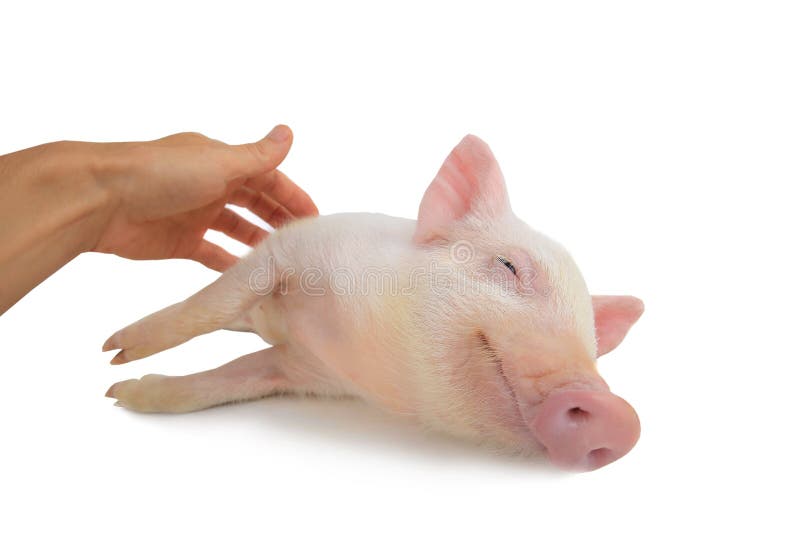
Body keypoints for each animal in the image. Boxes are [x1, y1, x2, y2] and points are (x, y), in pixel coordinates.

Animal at [104, 135, 644, 471]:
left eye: (593, 344)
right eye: (509, 266)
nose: (618, 413)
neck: (367, 351)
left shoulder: (296, 368)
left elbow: (223, 382)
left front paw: (121, 394)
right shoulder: (285, 253)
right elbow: (210, 306)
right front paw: (113, 356)